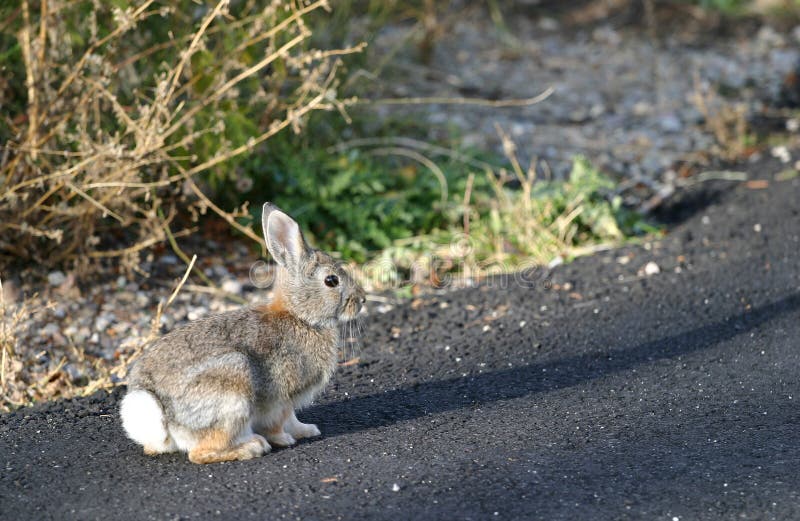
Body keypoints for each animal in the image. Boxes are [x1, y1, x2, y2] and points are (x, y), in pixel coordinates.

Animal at [120, 202, 366, 464]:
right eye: (331, 281)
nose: (362, 300)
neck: (301, 316)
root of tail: (161, 416)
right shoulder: (281, 395)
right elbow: (278, 421)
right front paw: (284, 439)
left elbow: (293, 419)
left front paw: (306, 430)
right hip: (233, 386)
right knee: (200, 452)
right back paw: (252, 447)